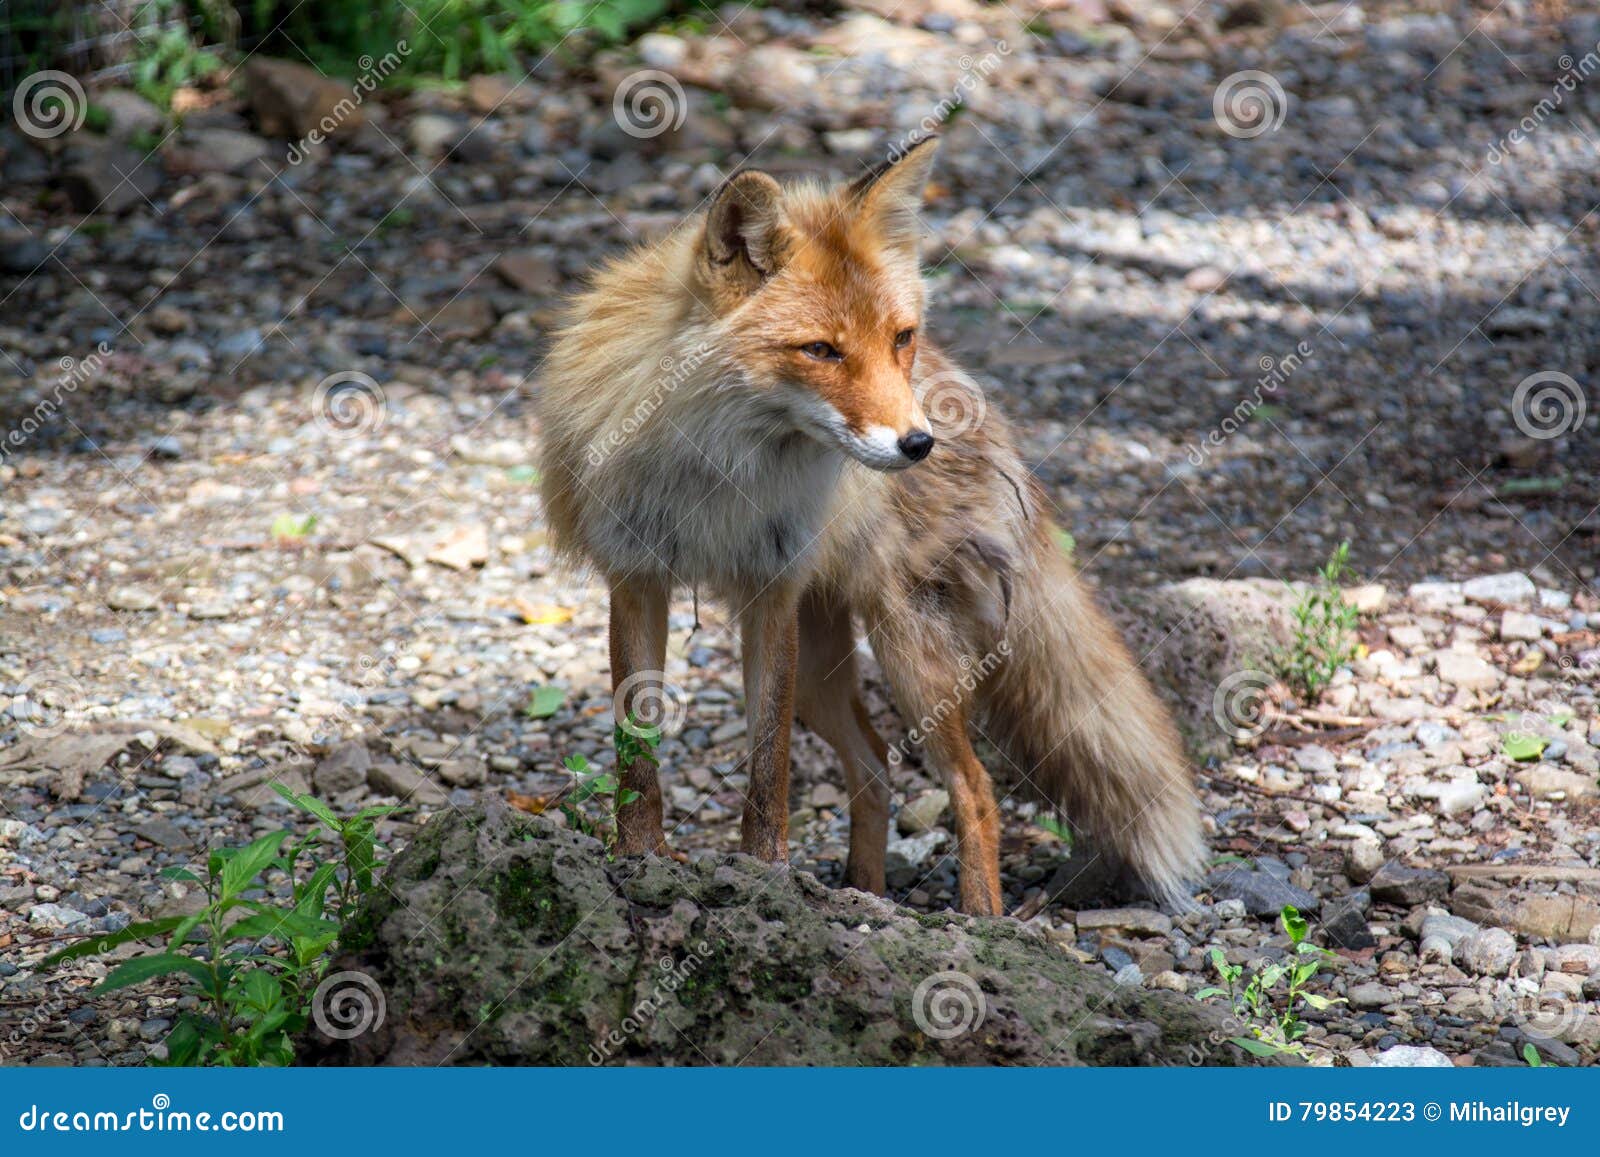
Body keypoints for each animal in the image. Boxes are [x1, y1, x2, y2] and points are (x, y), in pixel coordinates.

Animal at [536, 137, 1204, 915]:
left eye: (899, 338)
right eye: (821, 350)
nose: (918, 444)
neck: (720, 467)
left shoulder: (772, 592)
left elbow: (769, 772)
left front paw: (764, 874)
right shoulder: (638, 578)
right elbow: (636, 756)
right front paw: (639, 859)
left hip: (911, 655)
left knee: (974, 789)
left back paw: (981, 918)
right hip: (827, 673)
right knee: (878, 765)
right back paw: (866, 890)